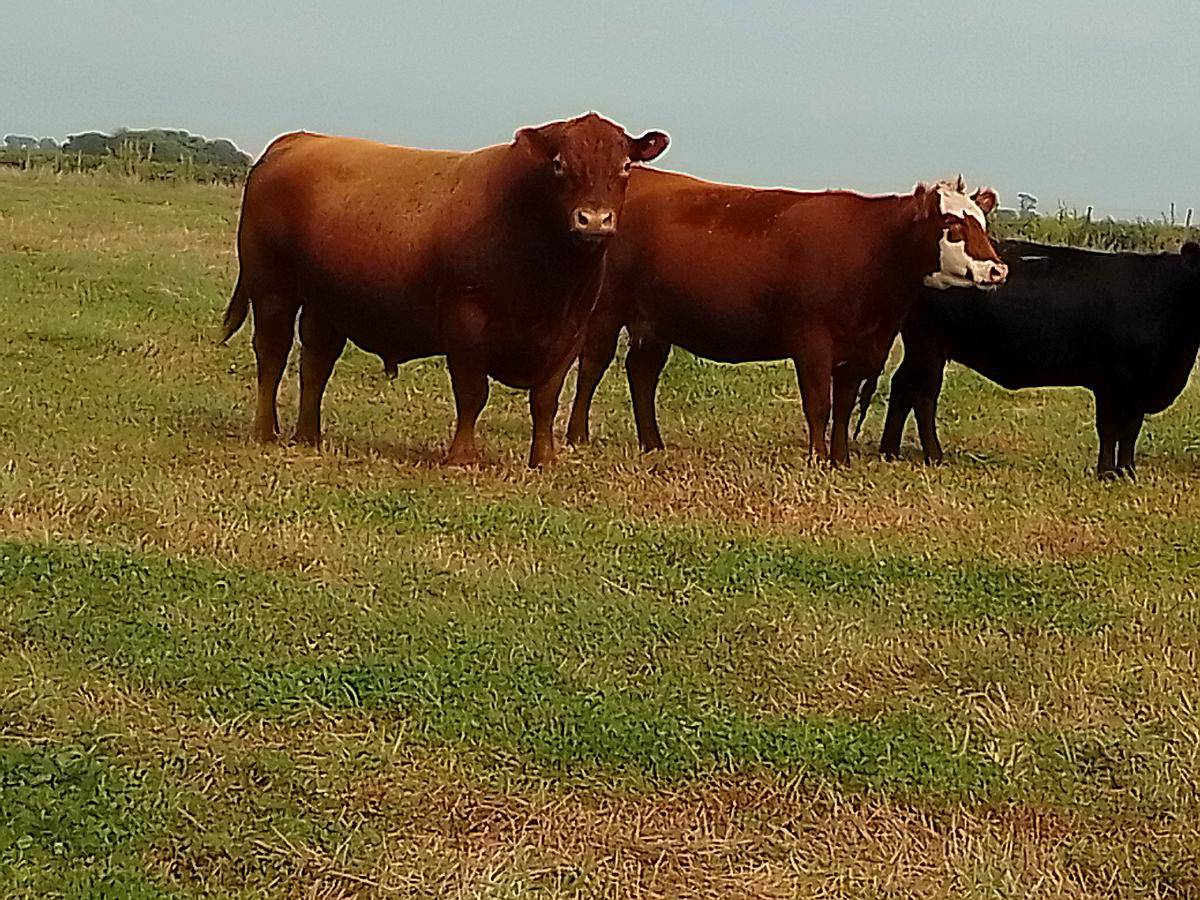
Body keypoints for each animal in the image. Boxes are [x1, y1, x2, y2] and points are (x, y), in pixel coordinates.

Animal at [220, 113, 669, 467]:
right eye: (559, 164)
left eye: (626, 166)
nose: (593, 220)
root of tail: (297, 140)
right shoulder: (466, 319)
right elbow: (472, 392)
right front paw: (462, 456)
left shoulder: (571, 331)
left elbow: (546, 400)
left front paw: (544, 460)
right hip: (272, 288)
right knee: (272, 355)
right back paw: (266, 431)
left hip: (326, 304)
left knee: (315, 362)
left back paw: (309, 436)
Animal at [564, 172, 1006, 463]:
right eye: (951, 224)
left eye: (983, 223)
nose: (997, 270)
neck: (872, 250)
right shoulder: (812, 342)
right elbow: (819, 404)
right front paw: (817, 458)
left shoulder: (862, 349)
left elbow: (844, 405)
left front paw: (840, 459)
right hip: (606, 310)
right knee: (593, 367)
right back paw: (577, 436)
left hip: (655, 322)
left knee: (642, 372)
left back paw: (652, 443)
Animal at [874, 239, 1200, 478]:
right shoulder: (1111, 381)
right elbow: (1110, 429)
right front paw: (1107, 472)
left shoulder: (1136, 389)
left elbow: (1130, 431)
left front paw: (1128, 472)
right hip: (928, 346)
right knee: (923, 395)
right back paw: (933, 455)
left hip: (922, 349)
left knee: (902, 386)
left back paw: (889, 451)